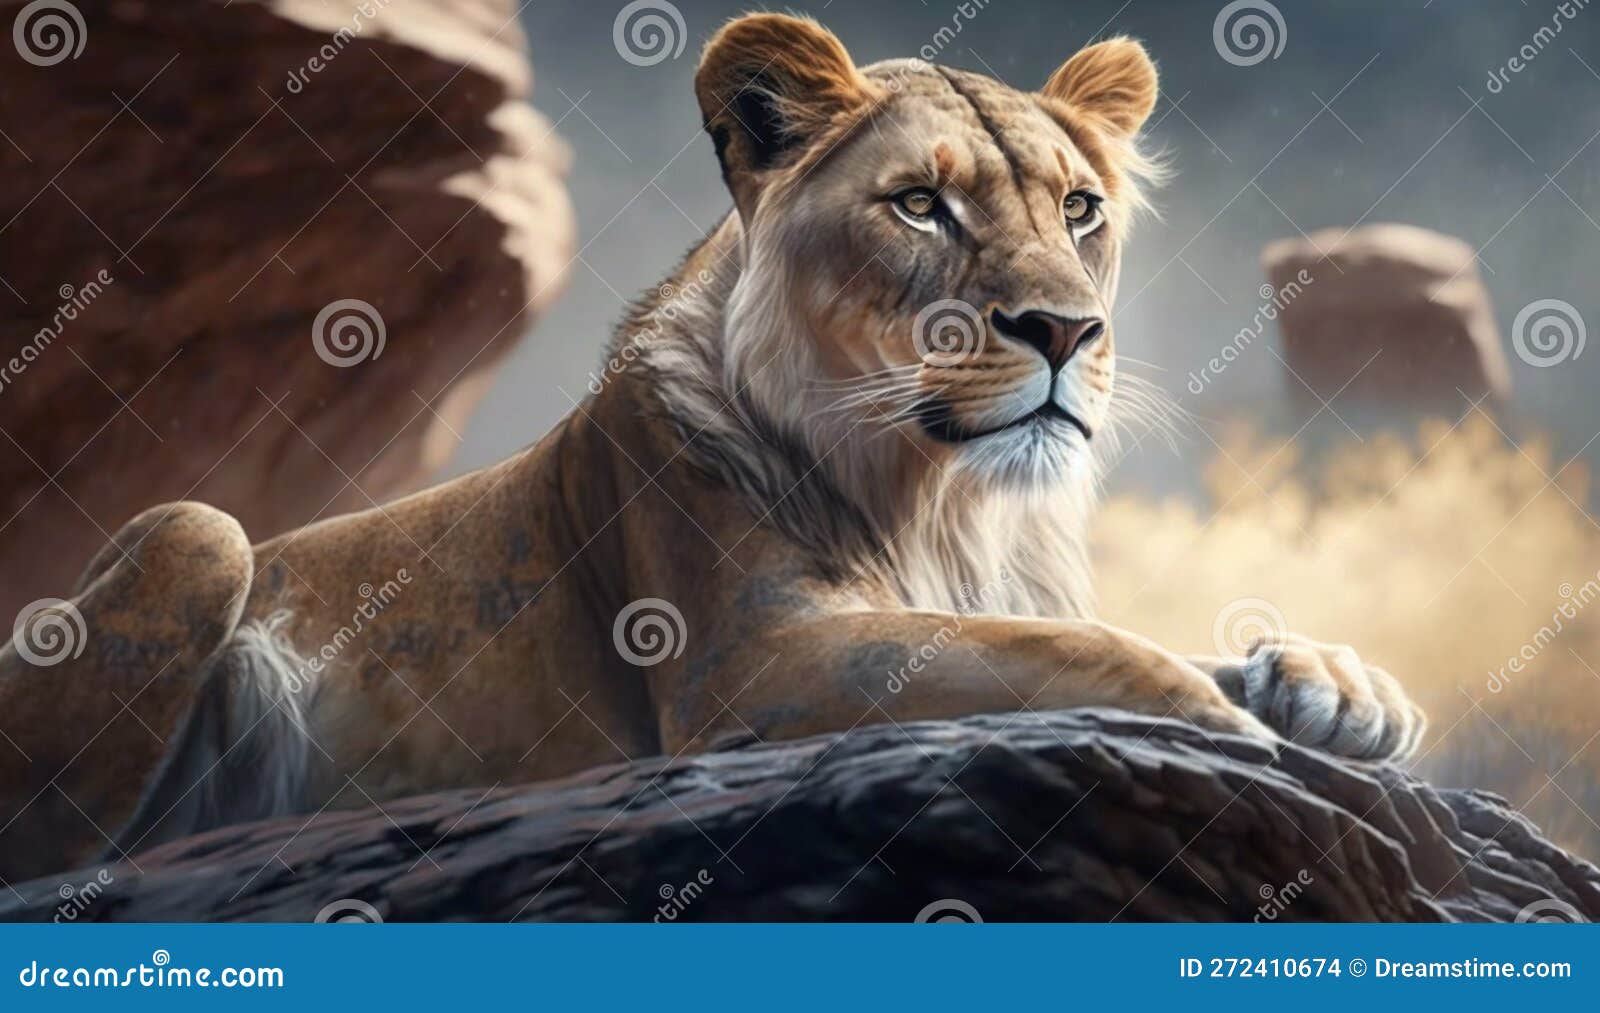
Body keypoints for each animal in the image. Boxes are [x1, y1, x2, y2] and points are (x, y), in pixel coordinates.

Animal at [0, 14, 1424, 881]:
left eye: (1079, 209)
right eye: (920, 204)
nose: (1068, 330)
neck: (948, 503)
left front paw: (1338, 687)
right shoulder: (742, 668)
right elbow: (1068, 650)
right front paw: (1225, 727)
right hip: (199, 533)